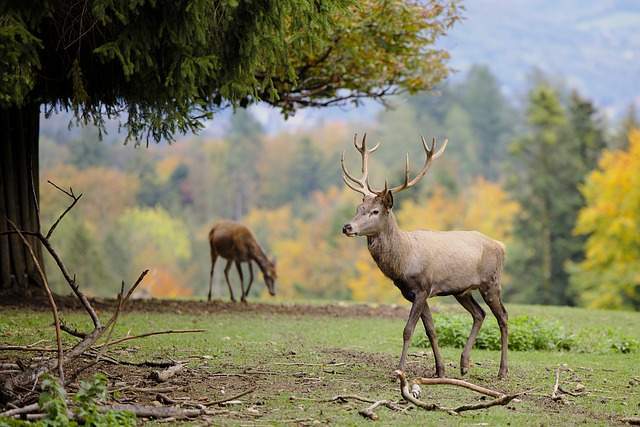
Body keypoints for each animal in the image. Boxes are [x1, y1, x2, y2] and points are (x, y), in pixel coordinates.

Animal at [341, 134, 508, 379]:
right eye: (358, 208)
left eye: (375, 211)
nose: (347, 227)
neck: (403, 261)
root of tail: (501, 246)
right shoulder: (414, 294)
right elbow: (431, 330)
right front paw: (440, 370)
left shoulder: (422, 287)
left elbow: (408, 330)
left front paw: (400, 370)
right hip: (461, 290)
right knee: (479, 314)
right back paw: (464, 364)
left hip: (491, 282)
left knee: (502, 316)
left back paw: (502, 370)